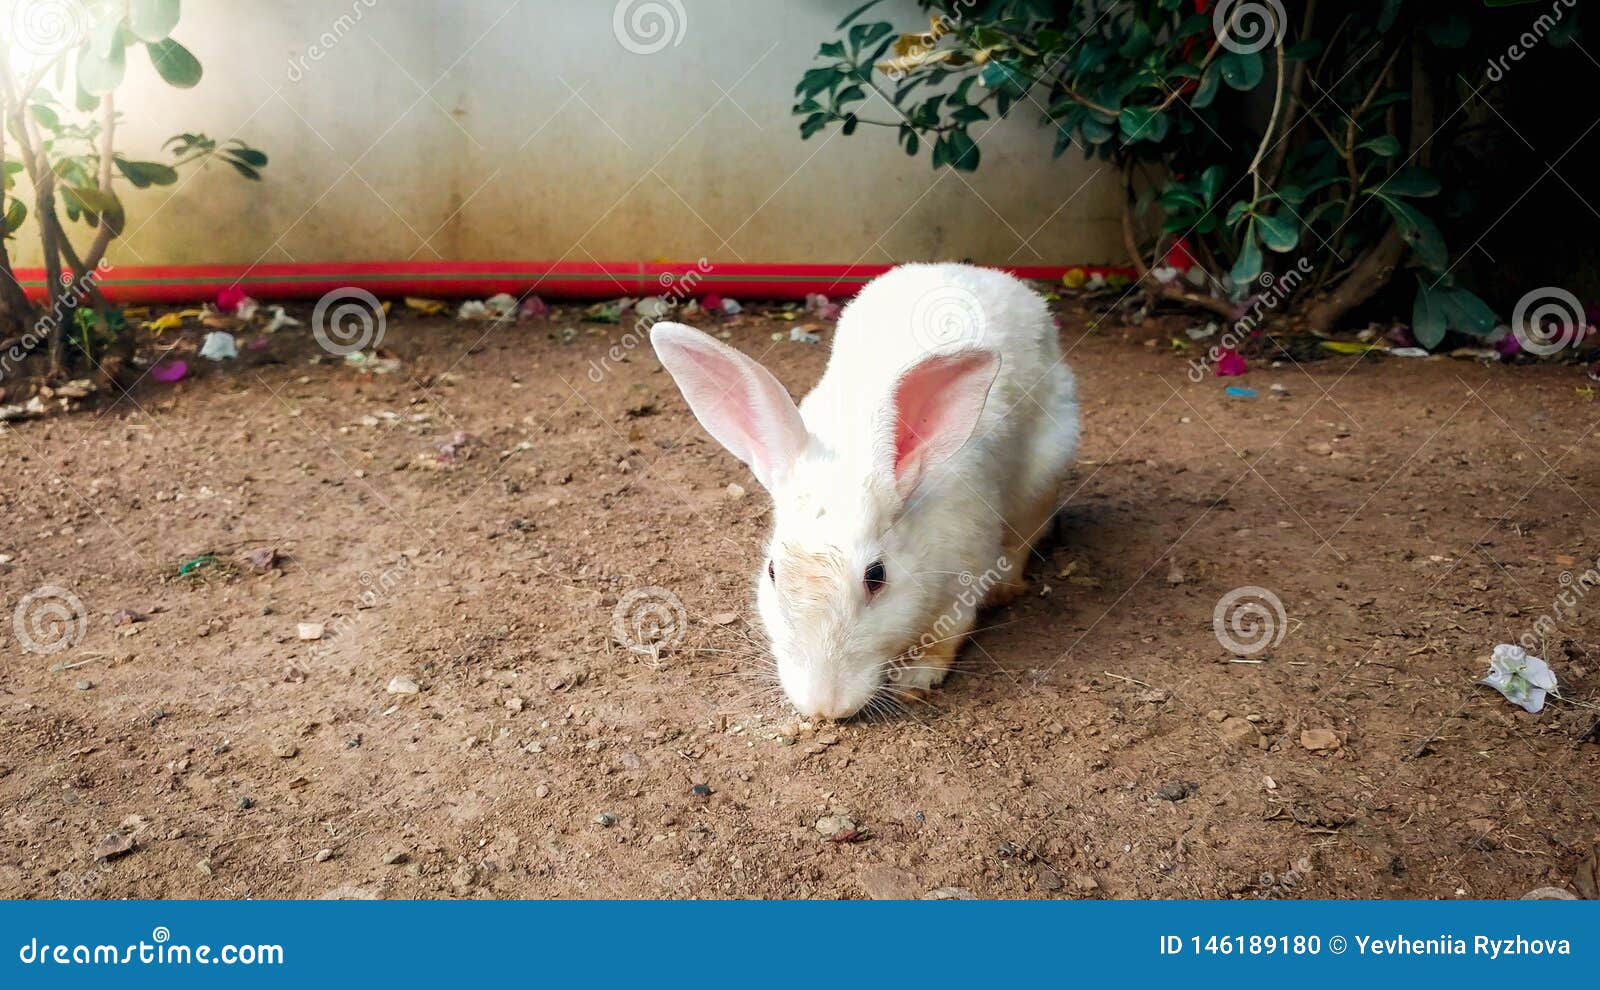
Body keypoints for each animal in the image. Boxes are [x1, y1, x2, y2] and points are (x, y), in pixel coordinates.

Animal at [650, 263, 1078, 719]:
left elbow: (948, 633)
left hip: (1045, 468)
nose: (824, 706)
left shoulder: (967, 570)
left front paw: (916, 678)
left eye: (877, 577)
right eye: (772, 572)